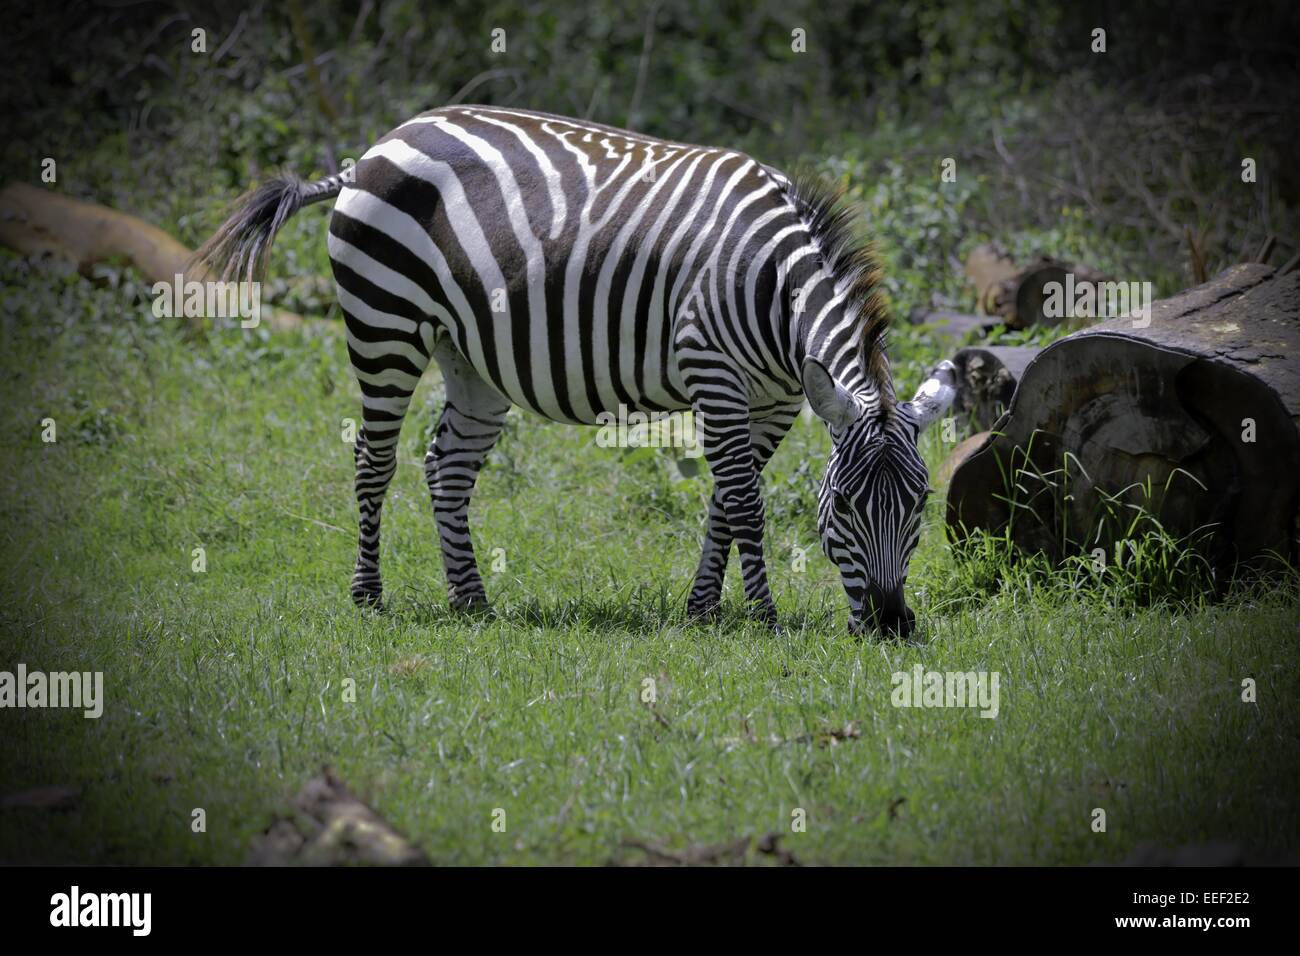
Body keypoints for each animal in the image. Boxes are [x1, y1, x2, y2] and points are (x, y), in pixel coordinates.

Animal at [195, 106, 956, 636]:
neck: (775, 291)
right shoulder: (714, 374)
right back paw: (369, 596)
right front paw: (763, 618)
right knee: (373, 459)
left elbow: (721, 498)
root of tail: (372, 151)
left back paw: (471, 601)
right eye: (848, 505)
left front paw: (702, 610)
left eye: (921, 503)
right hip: (384, 320)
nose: (891, 627)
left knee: (447, 466)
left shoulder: (776, 400)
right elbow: (745, 501)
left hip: (468, 357)